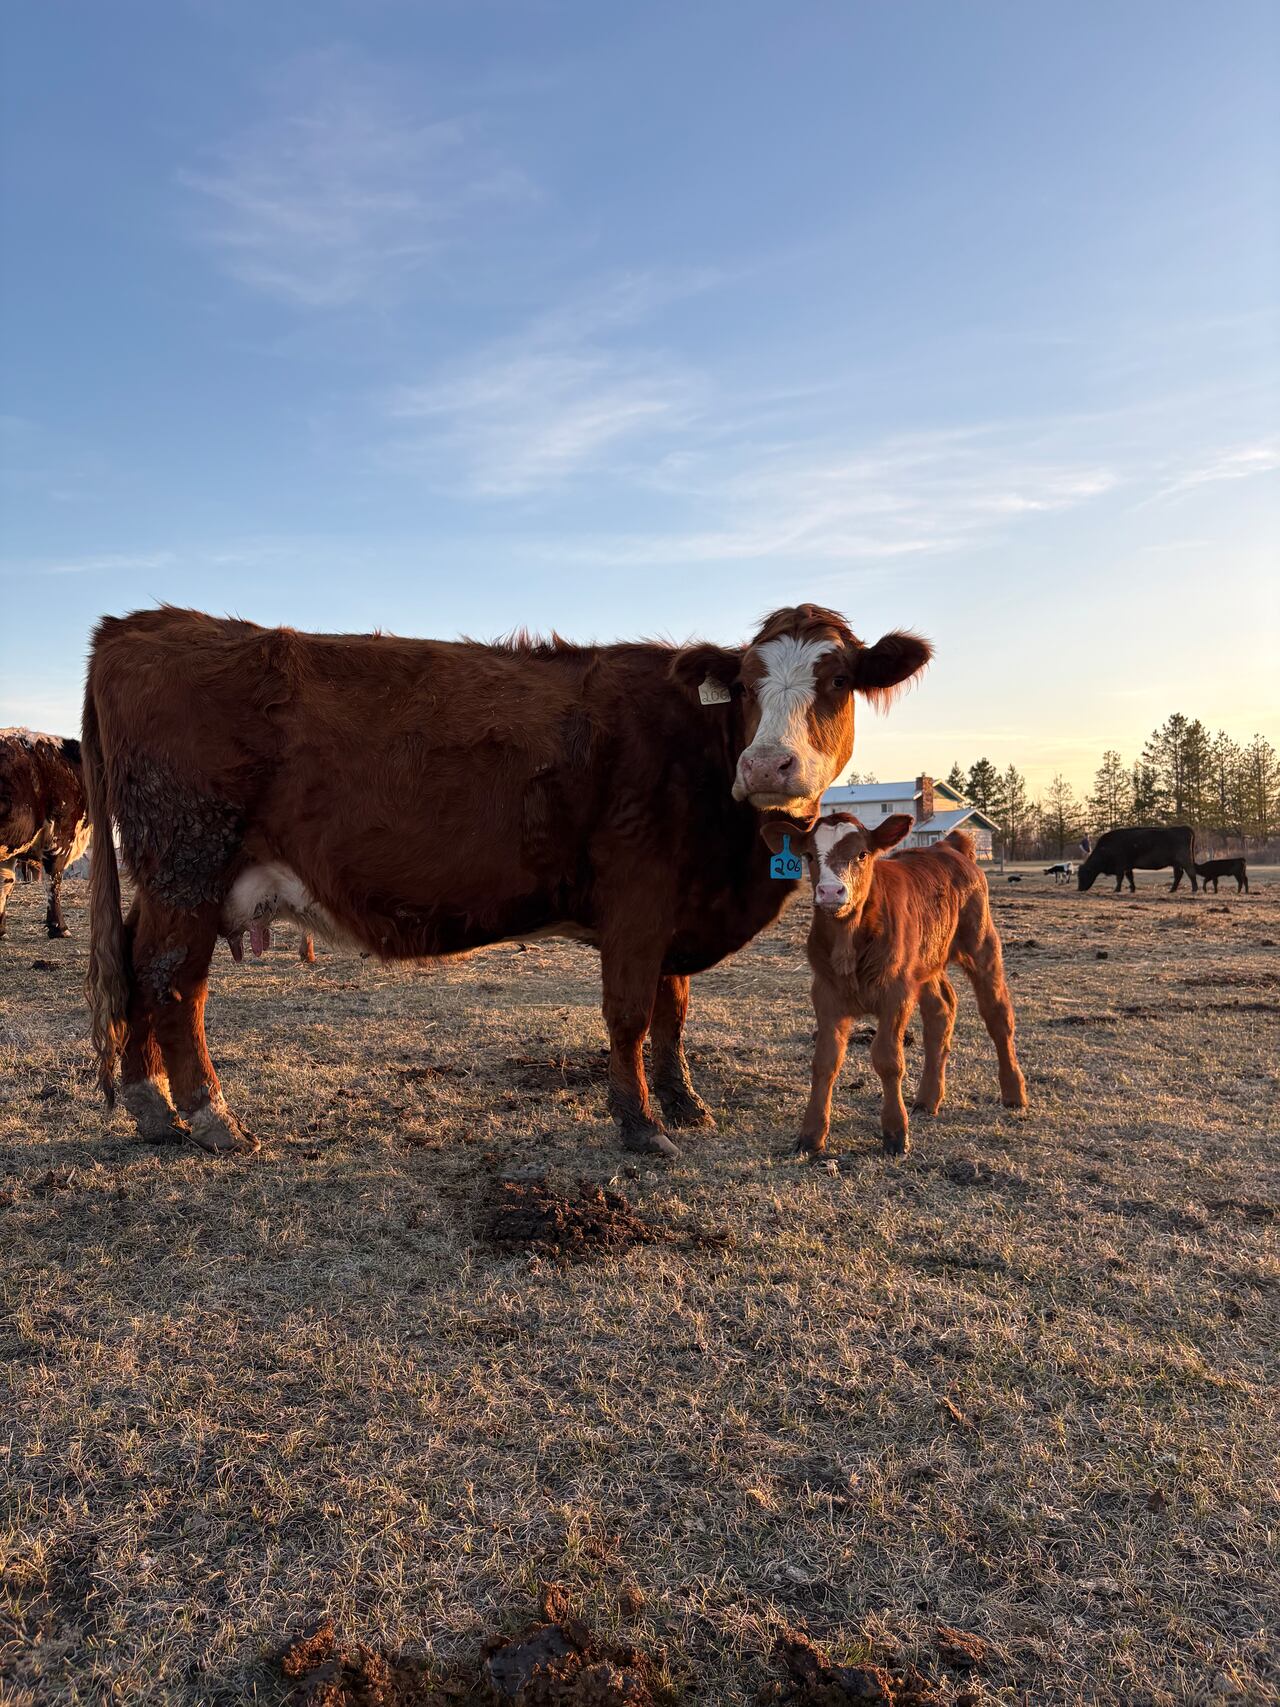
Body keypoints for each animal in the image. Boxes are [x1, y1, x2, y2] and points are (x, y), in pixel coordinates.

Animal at [82, 604, 931, 1156]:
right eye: (750, 683)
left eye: (838, 680)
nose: (766, 765)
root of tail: (146, 622)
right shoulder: (638, 901)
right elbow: (630, 1014)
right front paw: (640, 1123)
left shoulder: (673, 910)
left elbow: (673, 1010)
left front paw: (684, 1101)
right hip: (189, 866)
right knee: (172, 982)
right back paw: (210, 1116)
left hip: (168, 880)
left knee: (134, 968)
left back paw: (151, 1106)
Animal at [762, 815, 1026, 1158]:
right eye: (808, 855)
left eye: (862, 854)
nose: (830, 891)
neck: (848, 942)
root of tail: (948, 846)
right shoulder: (825, 993)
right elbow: (825, 1061)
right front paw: (811, 1135)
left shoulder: (896, 994)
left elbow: (888, 1059)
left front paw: (895, 1133)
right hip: (924, 963)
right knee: (940, 1013)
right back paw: (928, 1099)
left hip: (981, 944)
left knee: (998, 1015)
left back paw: (1014, 1093)